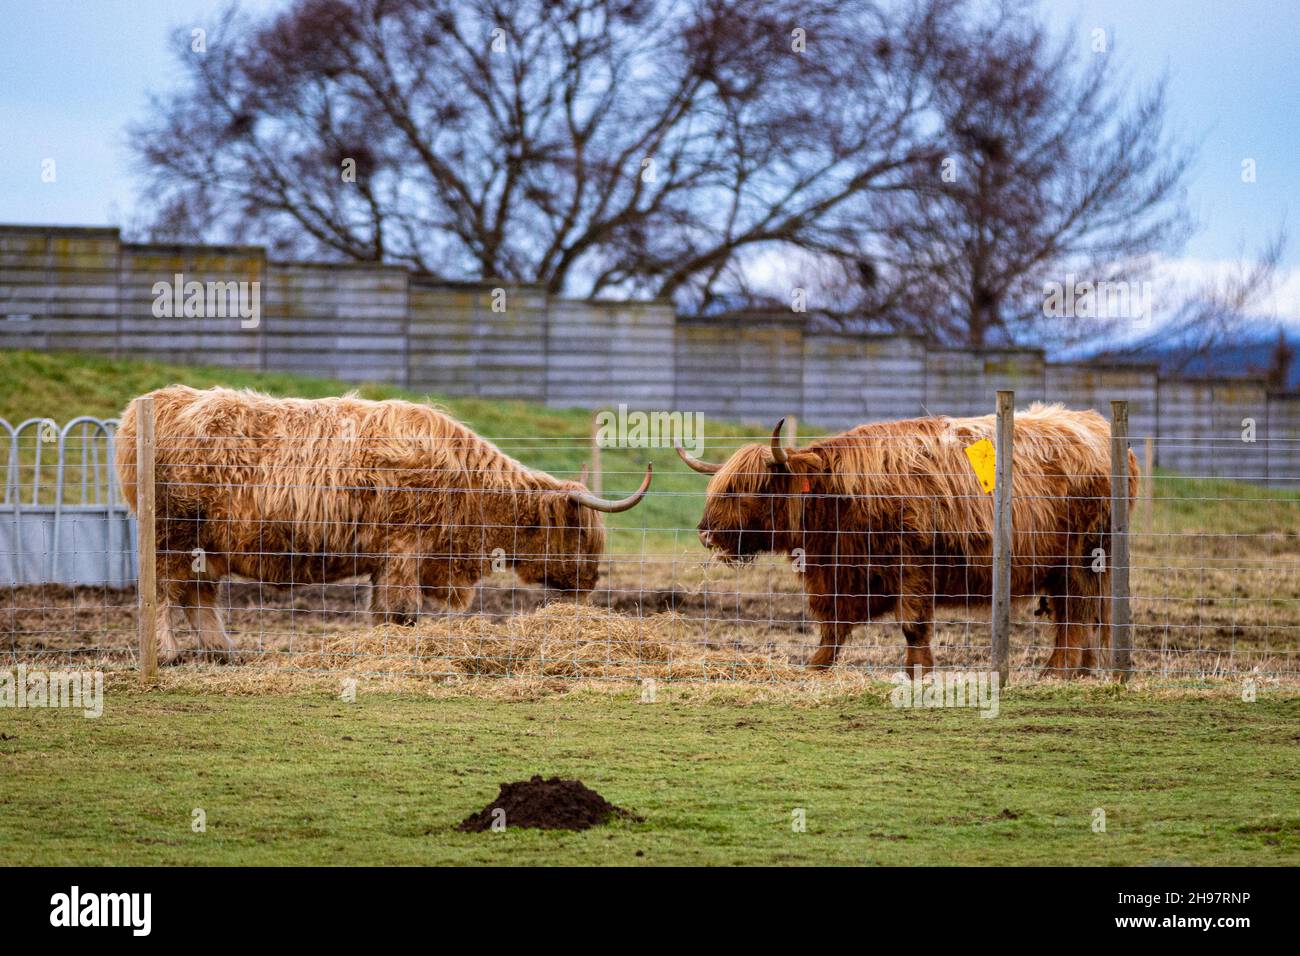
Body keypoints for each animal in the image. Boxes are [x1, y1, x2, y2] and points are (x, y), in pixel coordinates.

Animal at [115, 385, 651, 664]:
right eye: (581, 535)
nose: (589, 582)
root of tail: (160, 398)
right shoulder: (404, 551)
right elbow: (403, 612)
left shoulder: (389, 560)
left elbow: (383, 613)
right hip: (172, 537)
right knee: (164, 593)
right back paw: (168, 653)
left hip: (203, 547)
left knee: (198, 596)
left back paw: (226, 651)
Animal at [676, 404, 1139, 675]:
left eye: (744, 490)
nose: (705, 532)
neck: (838, 497)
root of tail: (1096, 425)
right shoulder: (837, 573)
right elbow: (831, 624)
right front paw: (817, 666)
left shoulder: (914, 565)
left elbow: (912, 624)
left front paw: (918, 671)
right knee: (1081, 615)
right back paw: (1083, 671)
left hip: (1082, 557)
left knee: (1076, 614)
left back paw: (1057, 670)